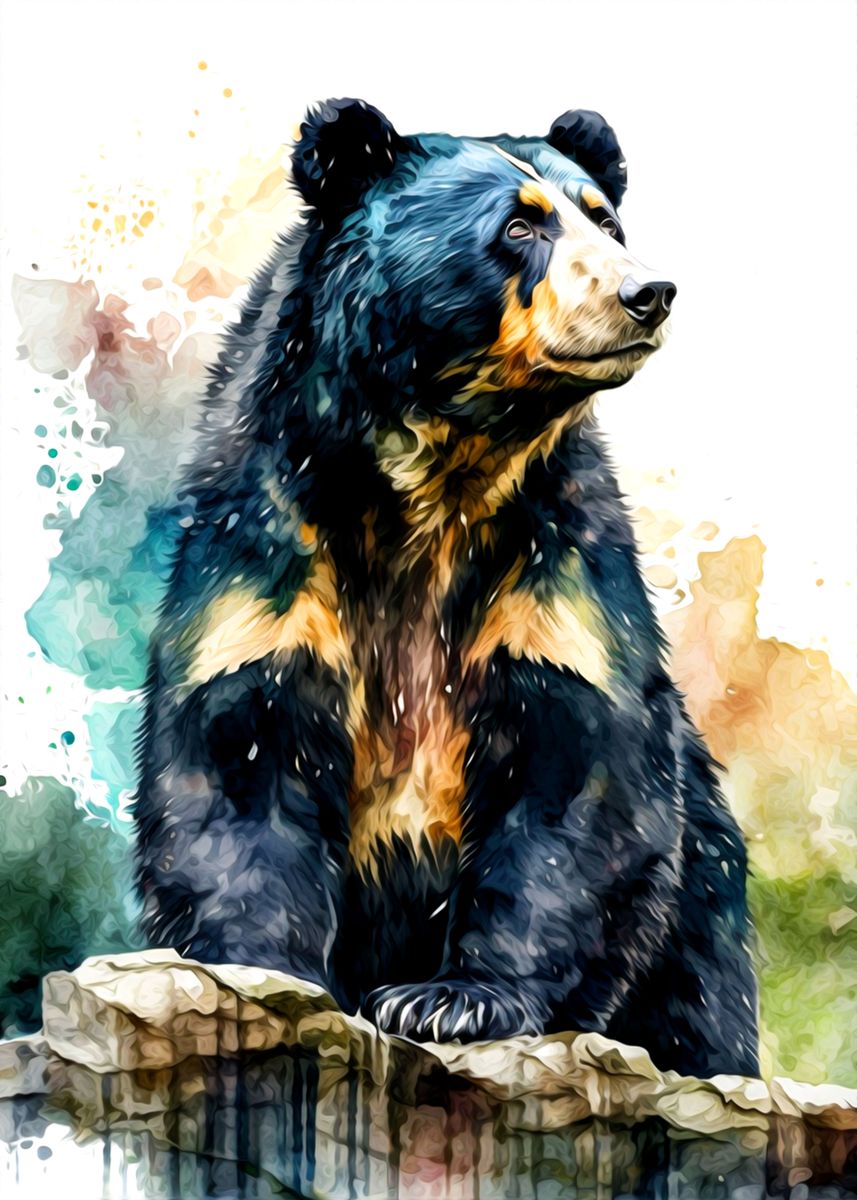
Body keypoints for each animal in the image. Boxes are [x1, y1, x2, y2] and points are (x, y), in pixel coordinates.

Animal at [134, 99, 759, 1078]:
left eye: (604, 220)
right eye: (519, 226)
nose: (647, 292)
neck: (440, 469)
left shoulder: (555, 574)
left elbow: (577, 783)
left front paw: (454, 1001)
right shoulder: (265, 560)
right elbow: (237, 766)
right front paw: (264, 986)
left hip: (704, 918)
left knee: (703, 1011)